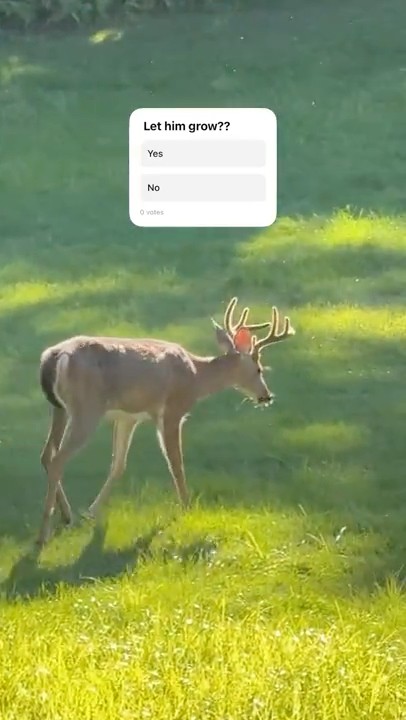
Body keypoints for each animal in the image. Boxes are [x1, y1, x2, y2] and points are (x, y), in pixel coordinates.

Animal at [37, 297, 295, 546]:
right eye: (259, 369)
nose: (266, 396)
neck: (196, 376)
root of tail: (55, 357)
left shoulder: (127, 417)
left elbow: (118, 465)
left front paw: (92, 512)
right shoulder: (173, 411)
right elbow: (176, 464)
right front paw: (187, 508)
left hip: (59, 408)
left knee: (47, 455)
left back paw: (67, 516)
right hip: (87, 408)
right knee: (58, 459)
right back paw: (44, 534)